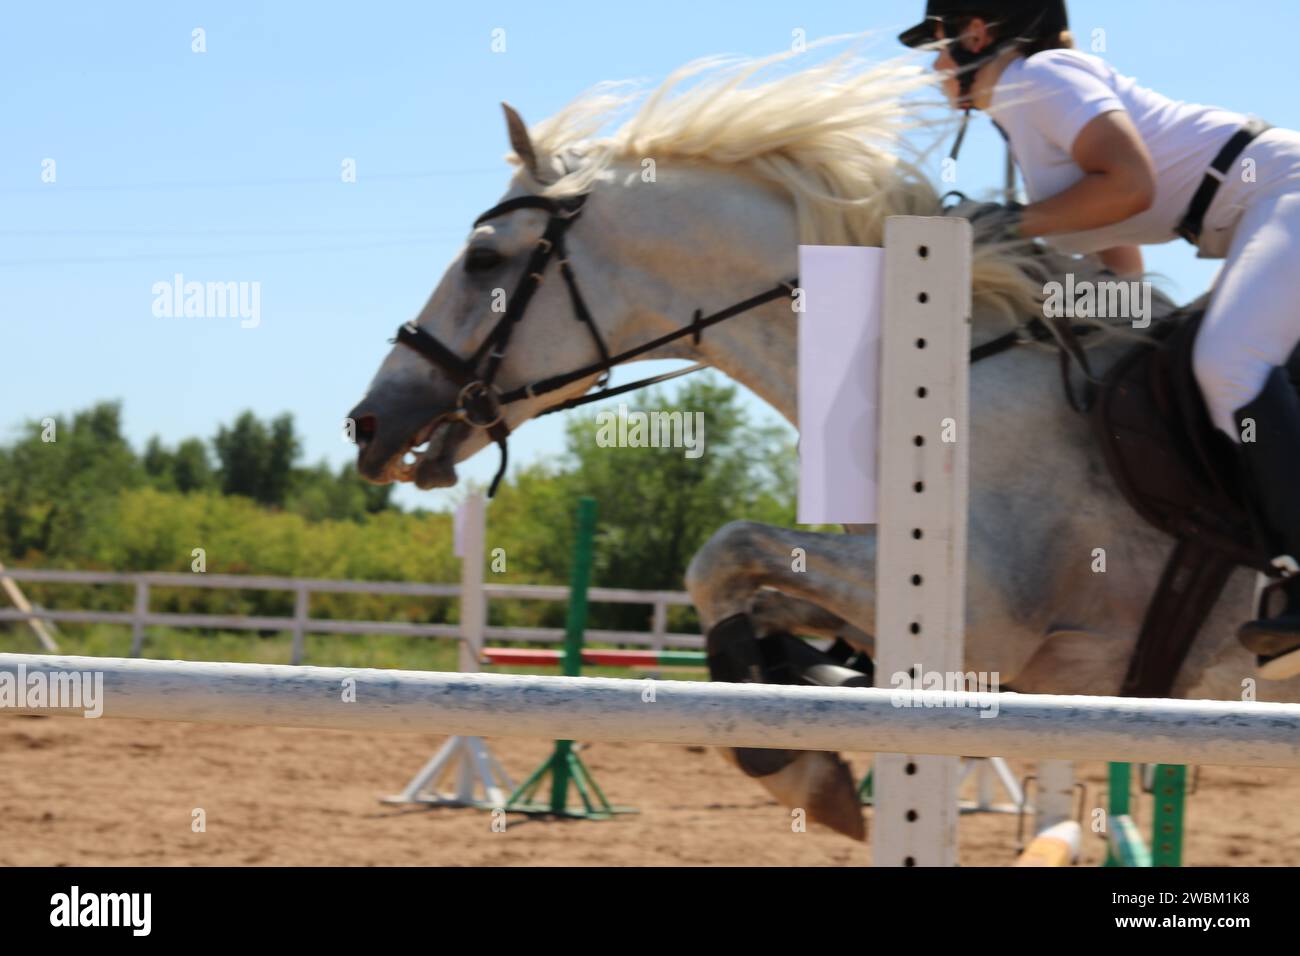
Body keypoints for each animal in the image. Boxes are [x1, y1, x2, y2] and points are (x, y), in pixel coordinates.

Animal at [346, 43, 1300, 839]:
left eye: (482, 258)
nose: (368, 425)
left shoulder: (980, 623)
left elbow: (727, 548)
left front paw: (794, 755)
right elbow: (748, 588)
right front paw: (802, 711)